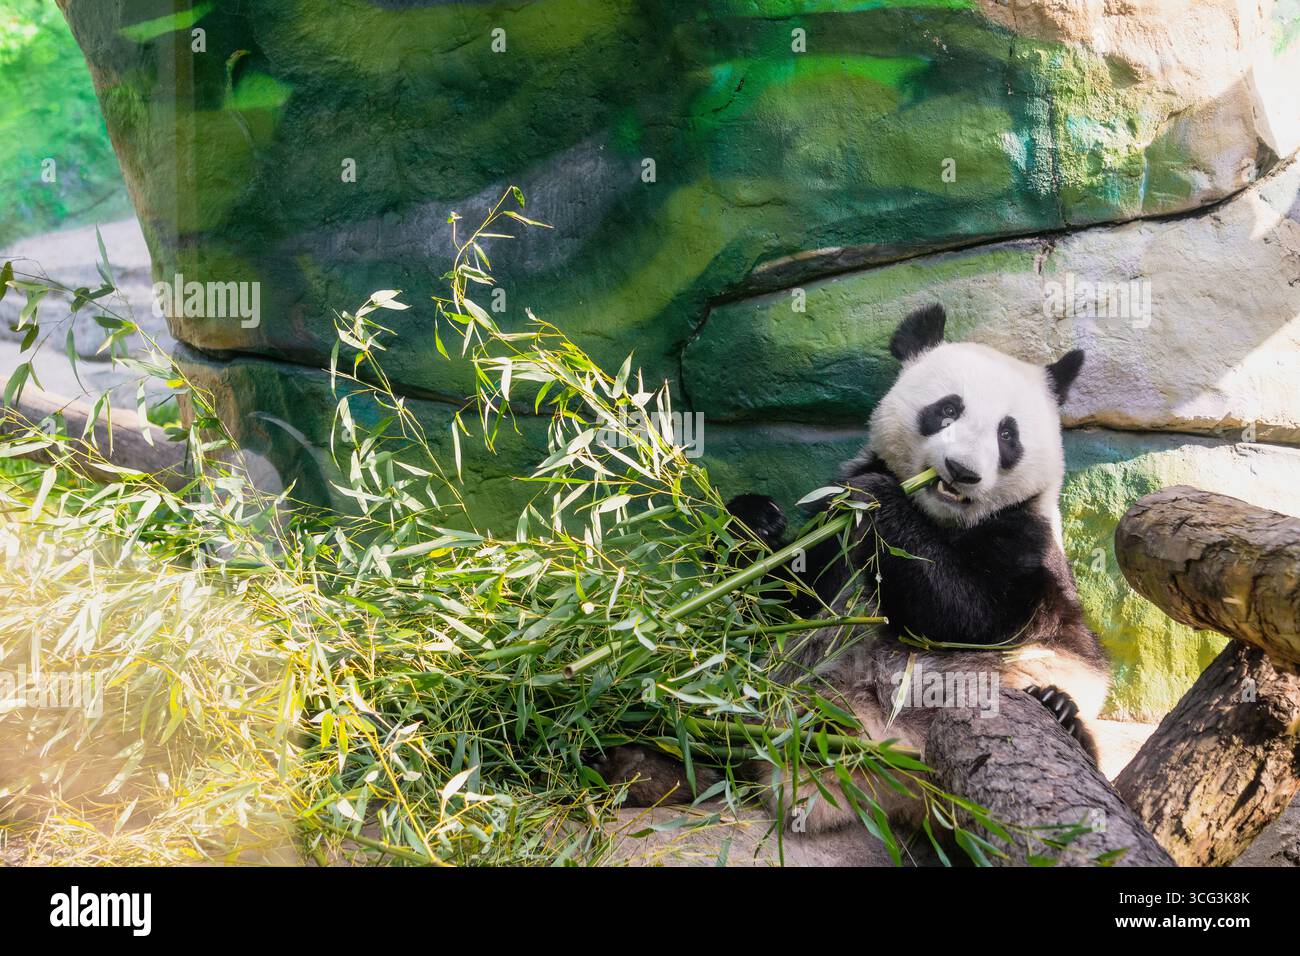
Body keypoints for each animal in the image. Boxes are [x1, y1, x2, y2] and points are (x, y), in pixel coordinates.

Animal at [725, 303, 1112, 832]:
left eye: (1007, 434)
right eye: (948, 409)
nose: (962, 471)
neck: (936, 517)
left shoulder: (1028, 542)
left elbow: (971, 617)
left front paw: (879, 499)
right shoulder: (833, 525)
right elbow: (787, 598)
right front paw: (756, 519)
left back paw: (1061, 713)